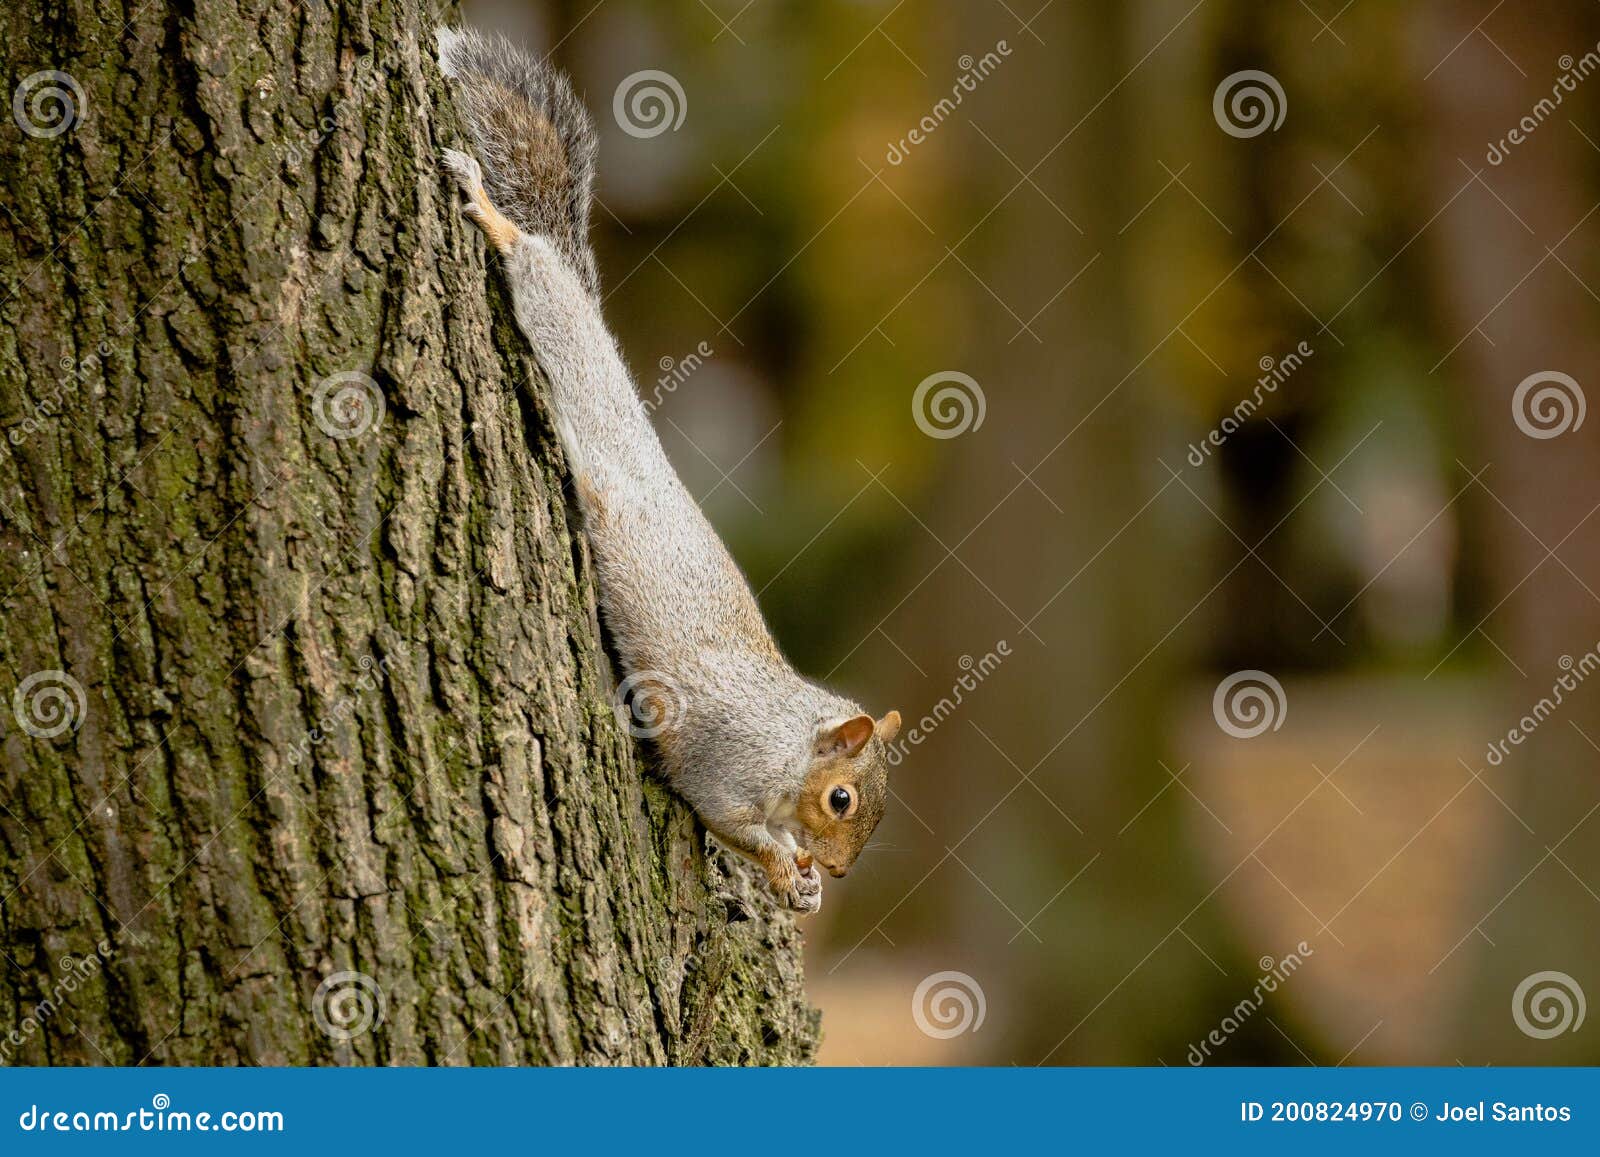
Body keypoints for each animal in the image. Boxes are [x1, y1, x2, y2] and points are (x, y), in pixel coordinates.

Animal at [435, 27, 902, 914]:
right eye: (842, 799)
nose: (840, 871)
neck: (785, 742)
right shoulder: (722, 763)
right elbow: (724, 818)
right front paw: (786, 871)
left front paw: (803, 887)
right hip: (565, 342)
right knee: (538, 273)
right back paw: (494, 216)